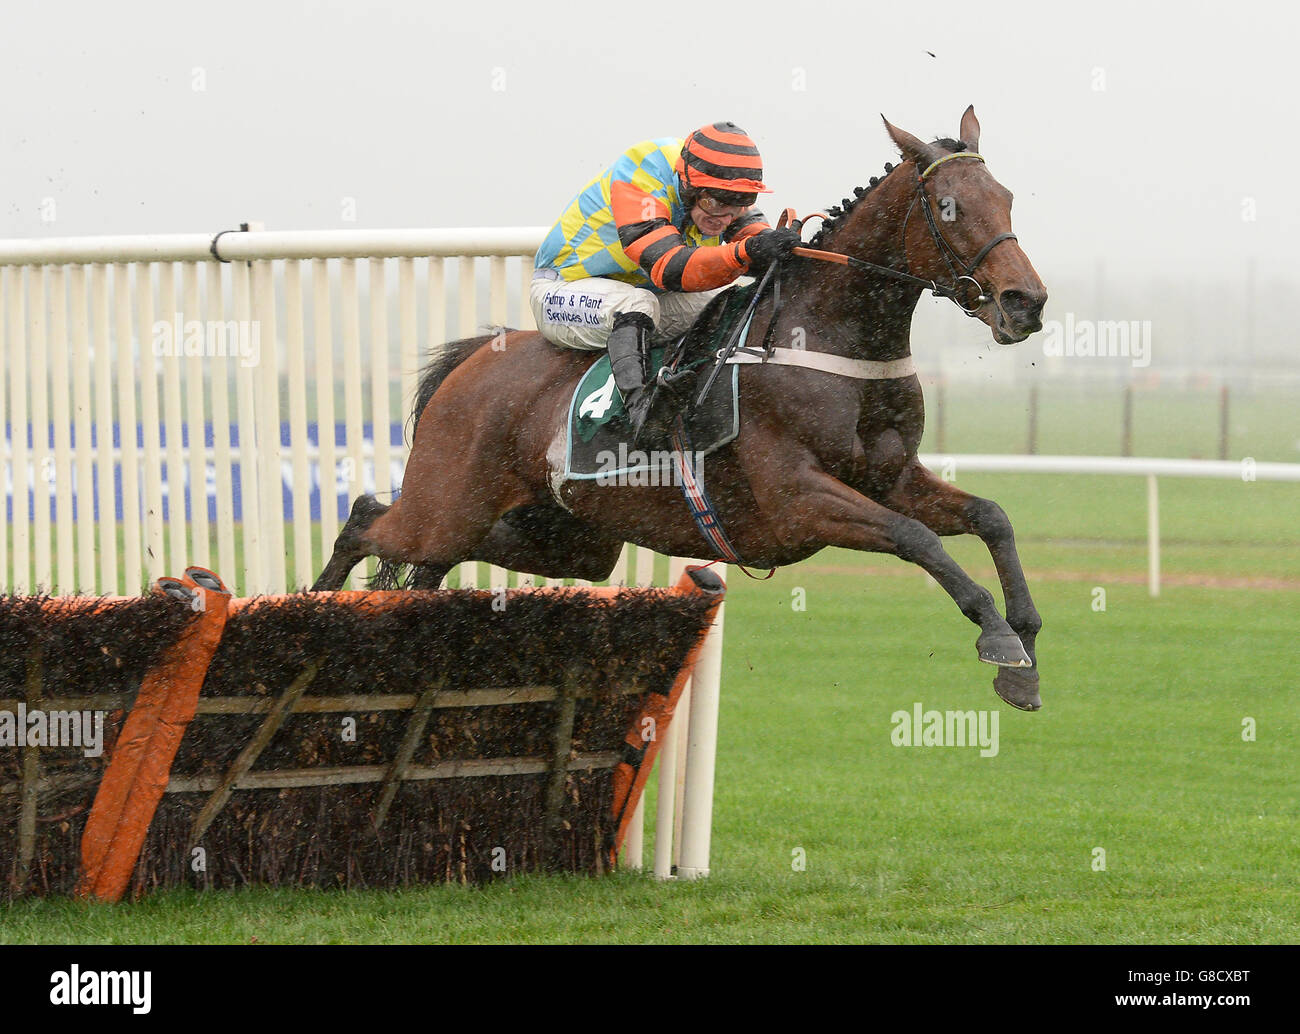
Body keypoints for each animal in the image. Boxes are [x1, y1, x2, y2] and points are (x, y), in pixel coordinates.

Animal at [312, 107, 1049, 710]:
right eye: (949, 206)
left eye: (1008, 198)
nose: (1026, 303)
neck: (832, 340)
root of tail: (473, 358)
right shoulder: (798, 499)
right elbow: (916, 537)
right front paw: (997, 637)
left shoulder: (890, 476)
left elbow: (992, 517)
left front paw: (1026, 638)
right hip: (450, 503)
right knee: (366, 520)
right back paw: (317, 605)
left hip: (565, 536)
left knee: (431, 558)